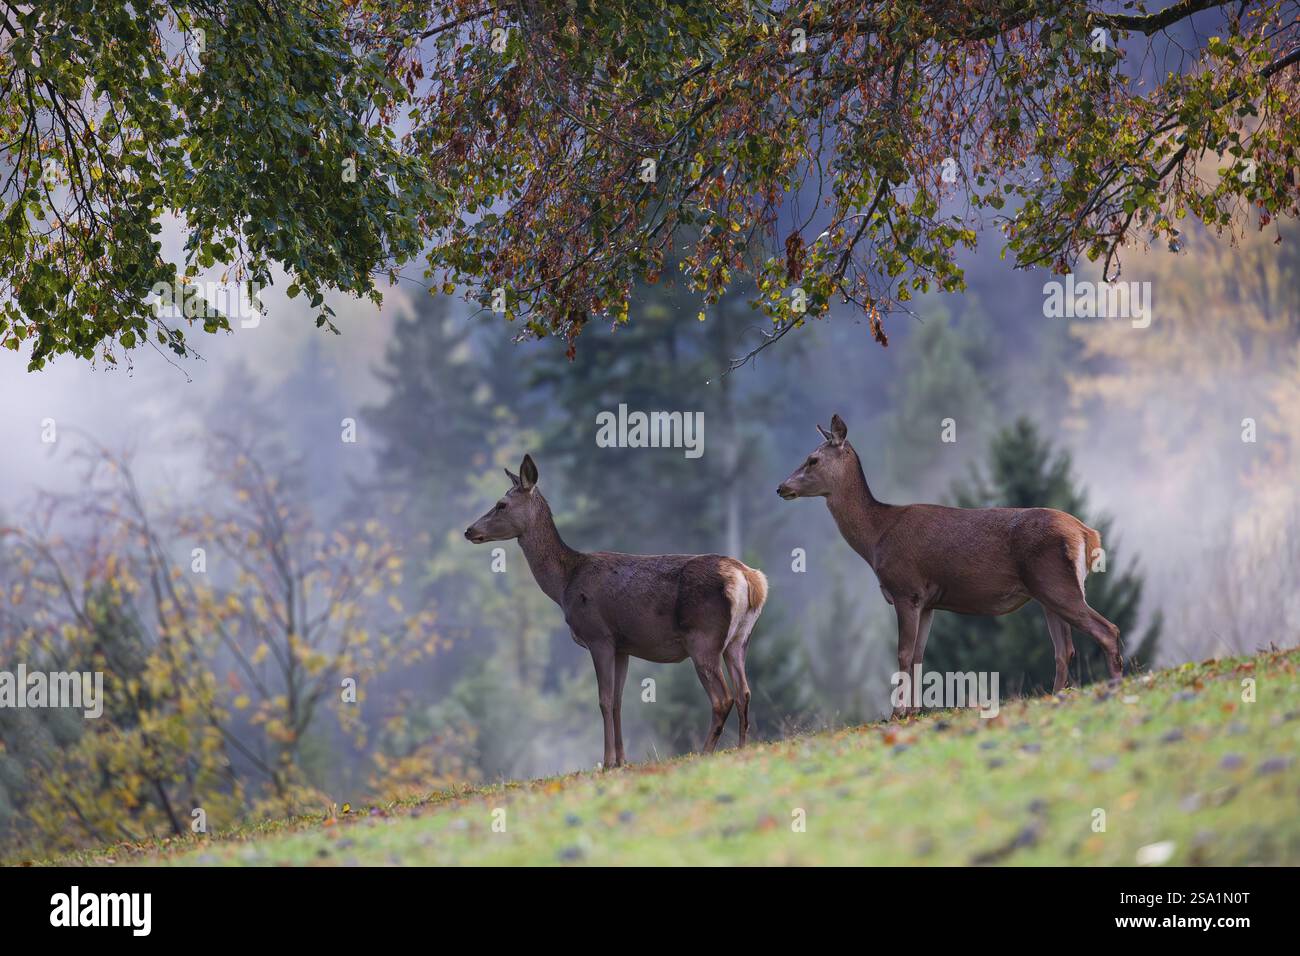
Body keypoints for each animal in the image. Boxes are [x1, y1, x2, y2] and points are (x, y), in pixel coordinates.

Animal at [465, 454, 769, 768]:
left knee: (723, 698)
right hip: (739, 640)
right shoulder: (623, 646)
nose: (469, 530)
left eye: (501, 504)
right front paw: (622, 760)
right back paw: (743, 747)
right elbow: (619, 700)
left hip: (703, 637)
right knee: (744, 692)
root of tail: (750, 579)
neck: (564, 584)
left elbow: (604, 700)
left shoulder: (599, 636)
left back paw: (705, 752)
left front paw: (607, 761)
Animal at [777, 414, 1123, 717]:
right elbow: (918, 655)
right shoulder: (929, 601)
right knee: (1064, 649)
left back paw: (1115, 685)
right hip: (1049, 592)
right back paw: (1056, 695)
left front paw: (896, 713)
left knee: (1107, 630)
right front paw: (914, 710)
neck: (876, 538)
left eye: (812, 460)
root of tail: (1086, 533)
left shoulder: (905, 589)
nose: (781, 487)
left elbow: (903, 653)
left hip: (1056, 582)